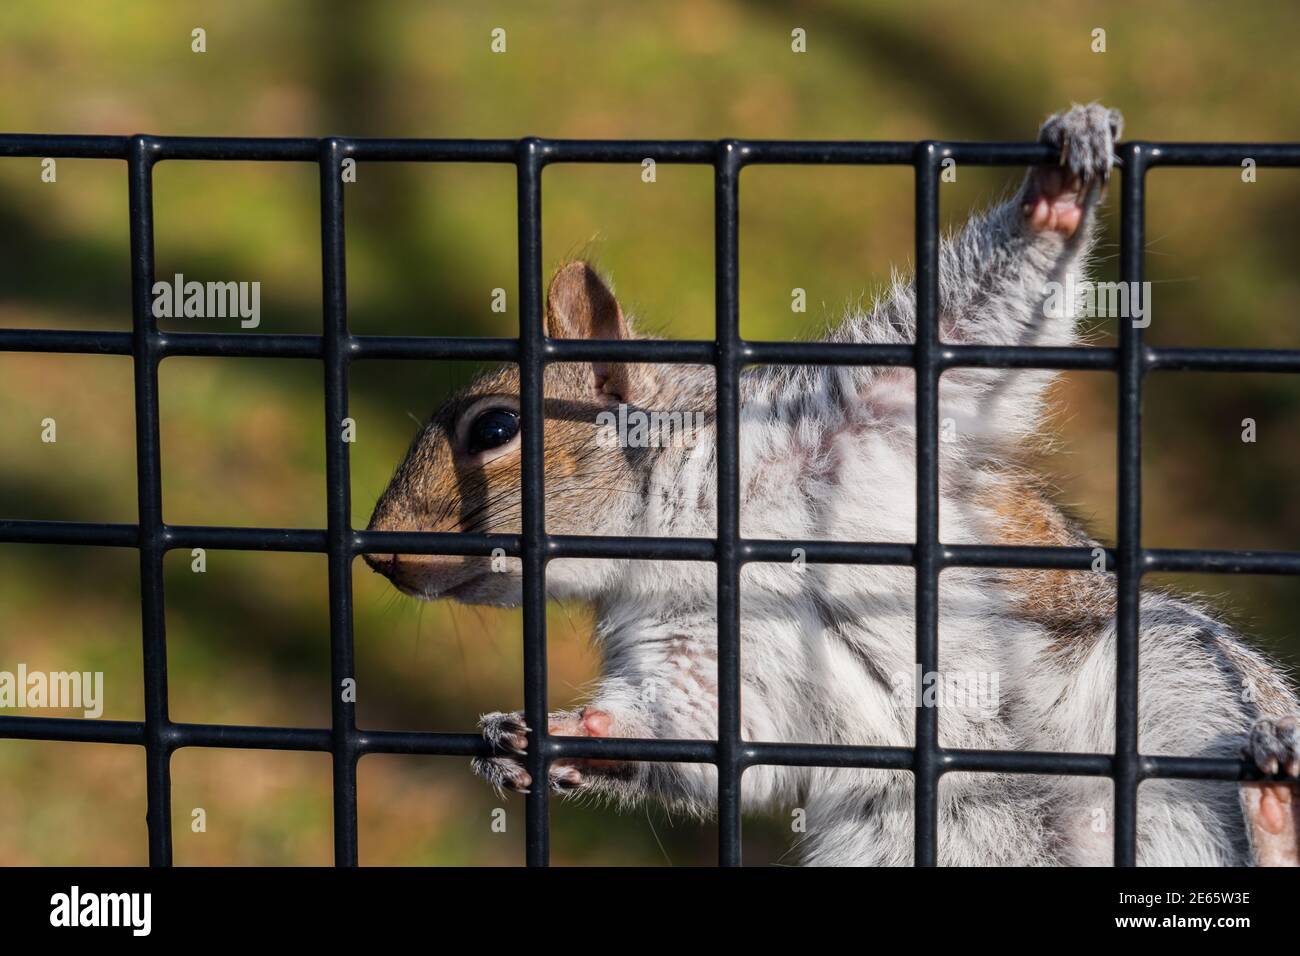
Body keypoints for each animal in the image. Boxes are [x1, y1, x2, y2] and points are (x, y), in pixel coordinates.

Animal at [365, 104, 1300, 866]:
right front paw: (542, 736)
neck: (692, 516)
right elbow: (692, 723)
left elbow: (967, 326)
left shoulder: (861, 414)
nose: (380, 555)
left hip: (1178, 688)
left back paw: (1276, 809)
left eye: (495, 429)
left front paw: (1058, 190)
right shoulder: (693, 647)